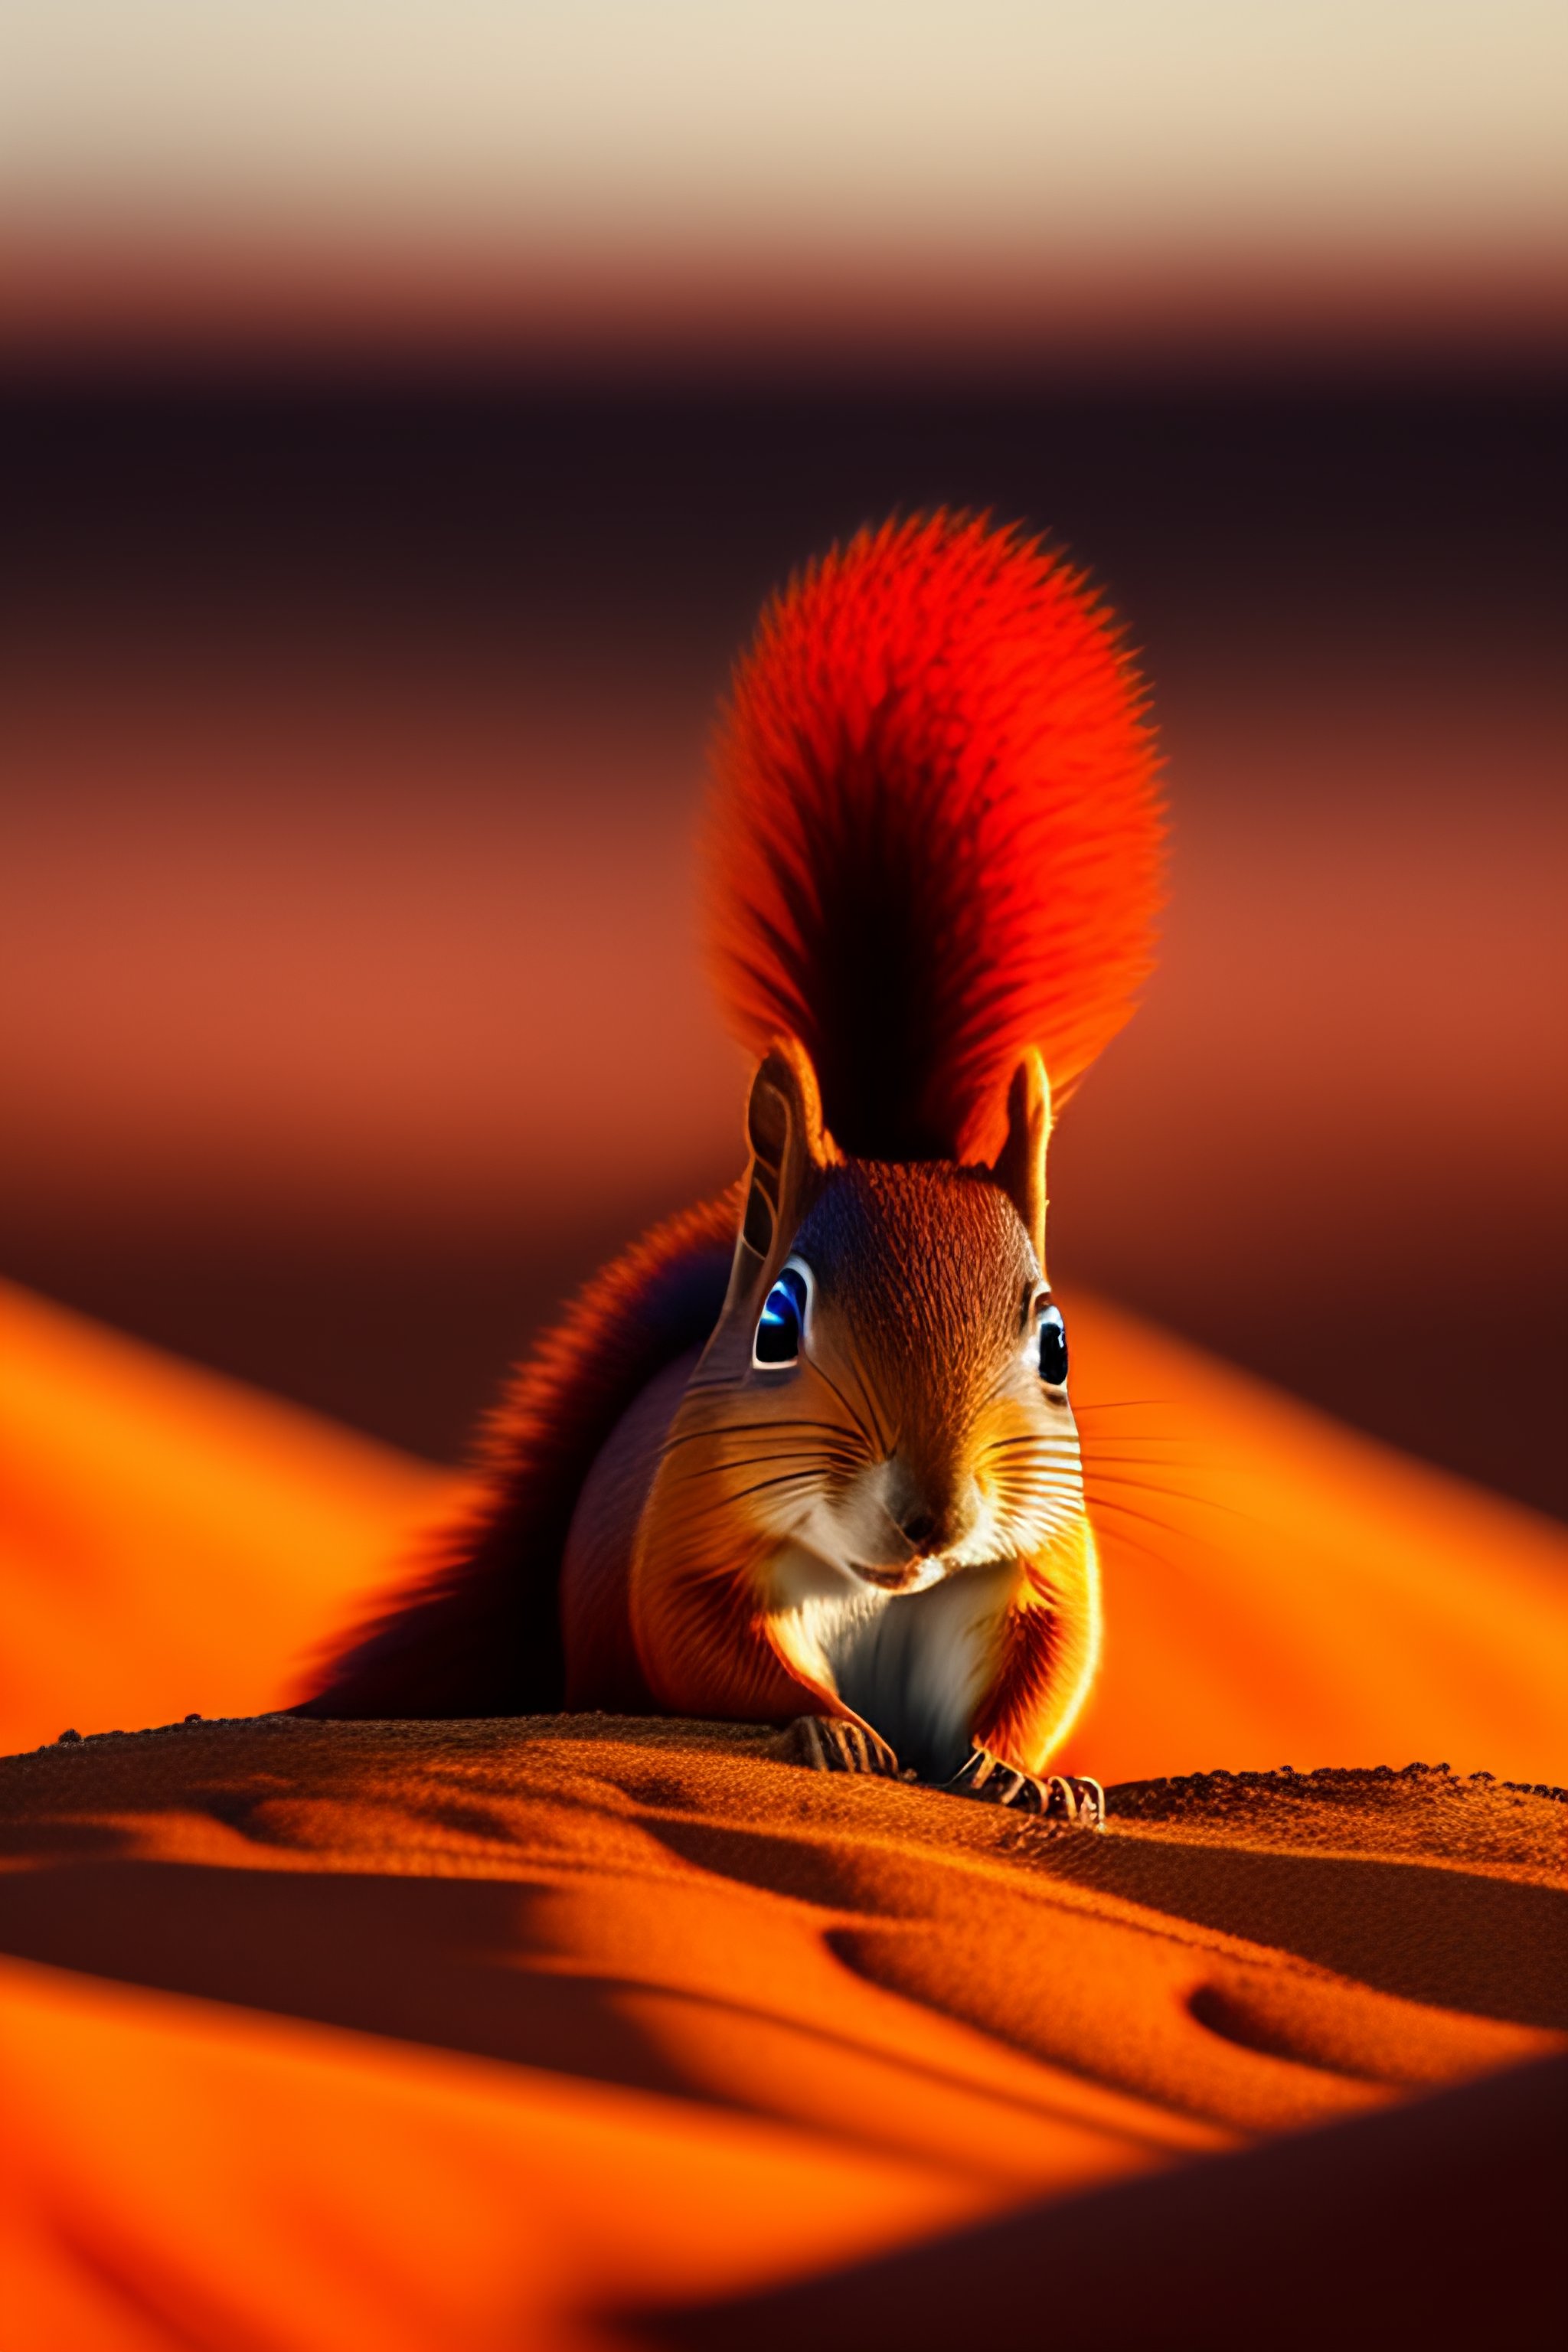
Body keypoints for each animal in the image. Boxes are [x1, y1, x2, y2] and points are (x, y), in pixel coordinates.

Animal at [299, 512, 1163, 1818]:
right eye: (775, 1325)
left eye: (1058, 1347)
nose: (933, 1514)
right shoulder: (686, 1550)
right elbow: (708, 1648)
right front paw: (840, 1734)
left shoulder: (1035, 1567)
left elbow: (1050, 1662)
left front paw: (1022, 1773)